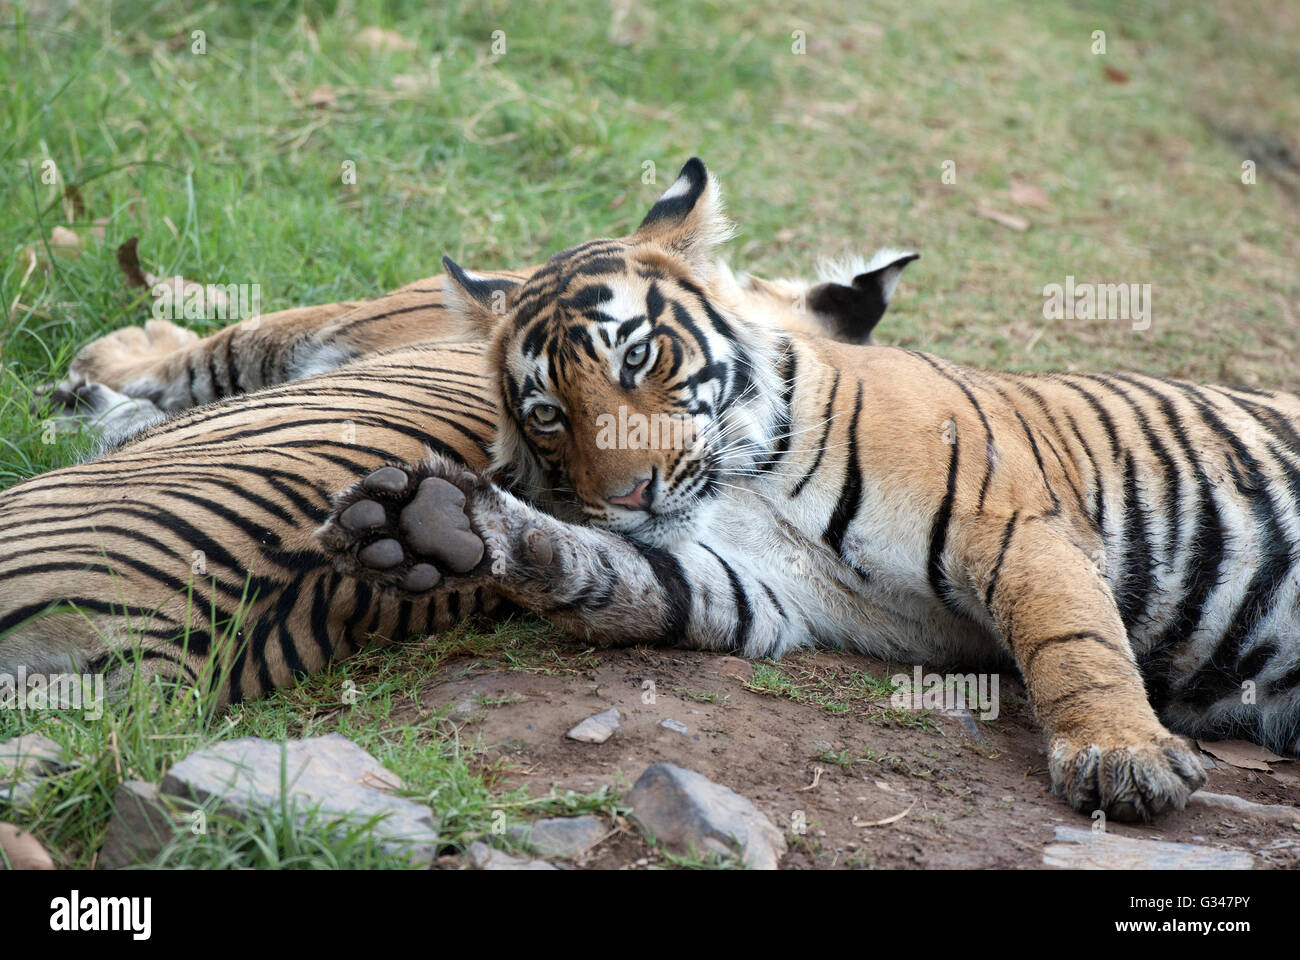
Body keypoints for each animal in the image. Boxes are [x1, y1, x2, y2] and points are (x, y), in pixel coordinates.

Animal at [316, 157, 1300, 823]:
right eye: (548, 413)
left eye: (637, 356)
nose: (629, 496)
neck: (744, 478)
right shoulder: (759, 591)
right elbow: (601, 569)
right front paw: (431, 522)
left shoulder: (1015, 524)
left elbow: (1074, 639)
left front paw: (1120, 758)